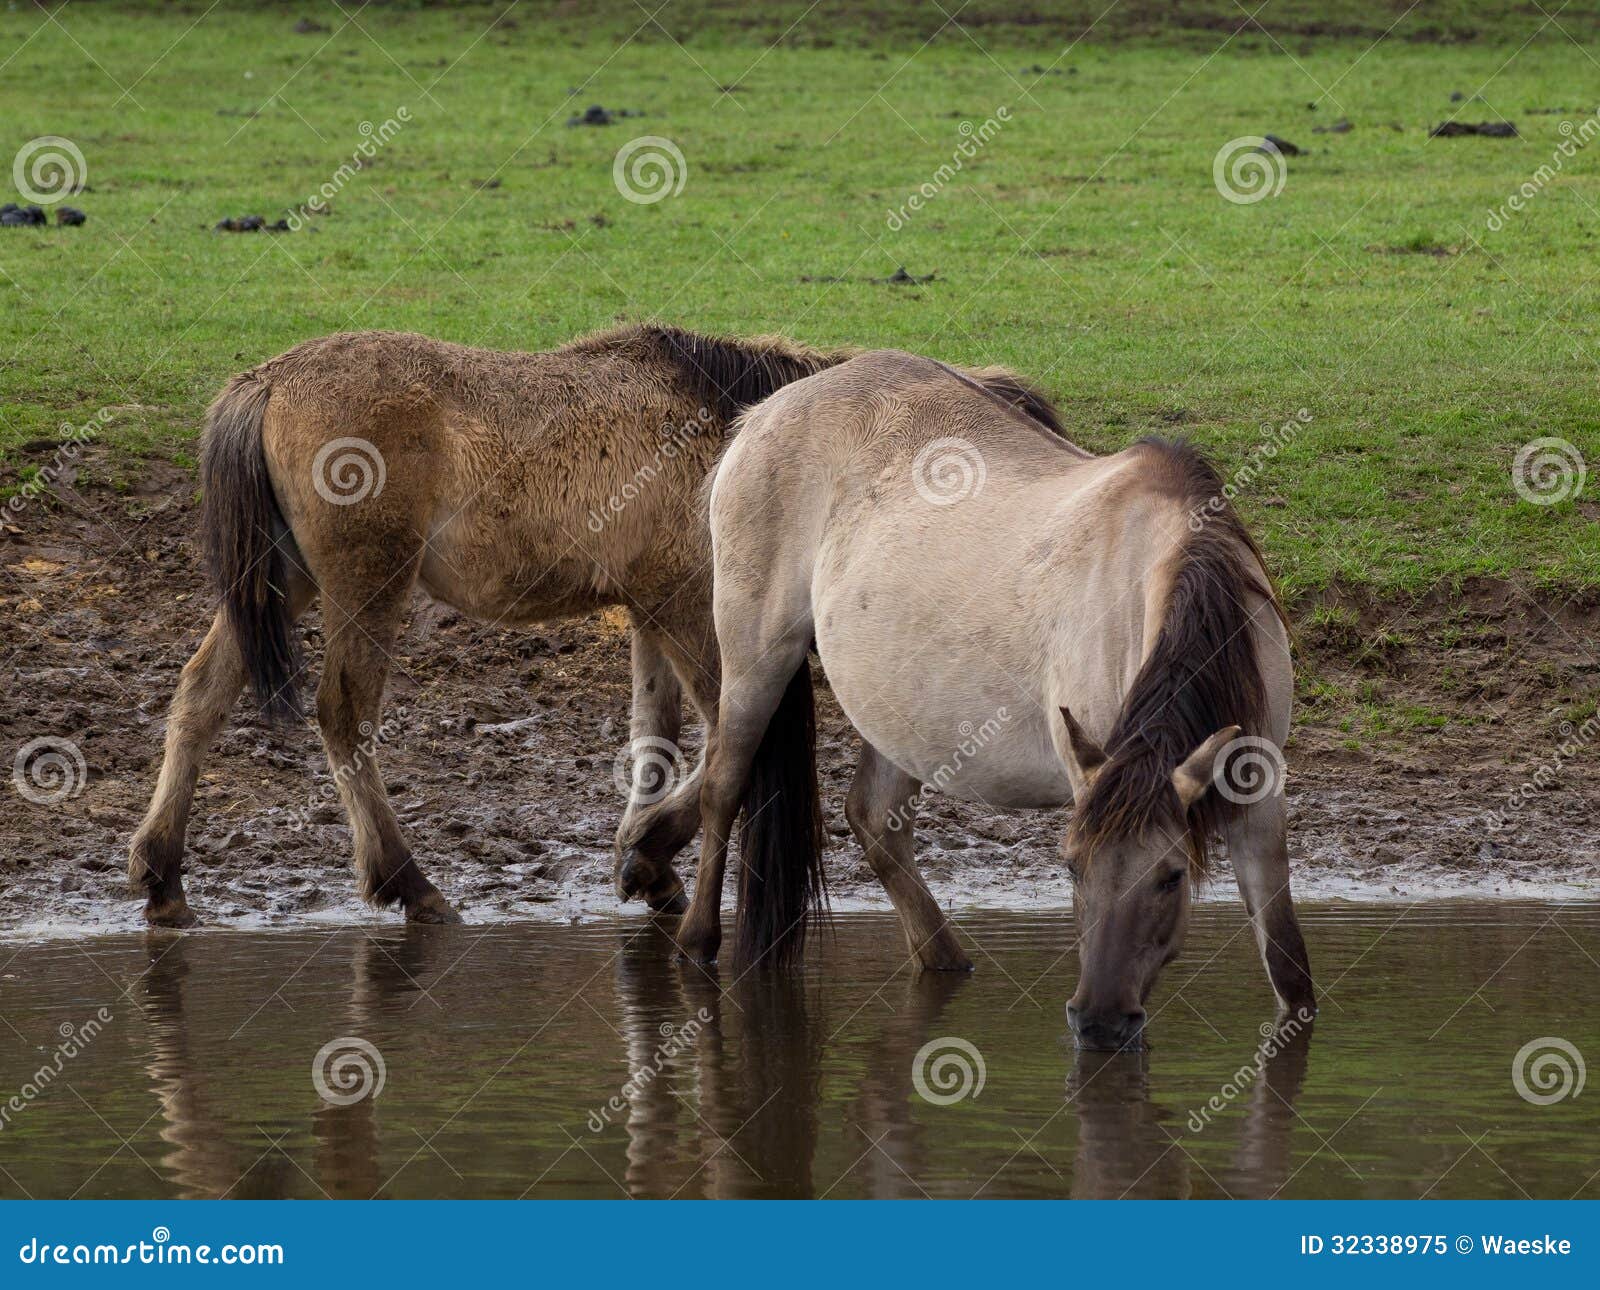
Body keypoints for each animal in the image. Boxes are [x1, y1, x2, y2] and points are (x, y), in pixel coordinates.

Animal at [127, 325, 1063, 929]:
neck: (746, 430)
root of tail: (268, 382)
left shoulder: (651, 615)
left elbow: (657, 737)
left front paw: (646, 860)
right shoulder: (687, 610)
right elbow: (719, 739)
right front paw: (648, 854)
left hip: (280, 583)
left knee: (201, 695)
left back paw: (163, 875)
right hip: (366, 584)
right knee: (344, 716)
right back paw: (409, 882)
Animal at [682, 349, 1315, 1050]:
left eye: (1172, 876)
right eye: (1070, 868)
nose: (1098, 1021)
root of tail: (762, 414)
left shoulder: (1259, 799)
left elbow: (1290, 970)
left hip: (896, 709)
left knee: (873, 818)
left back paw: (945, 959)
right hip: (755, 662)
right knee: (723, 785)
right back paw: (697, 942)